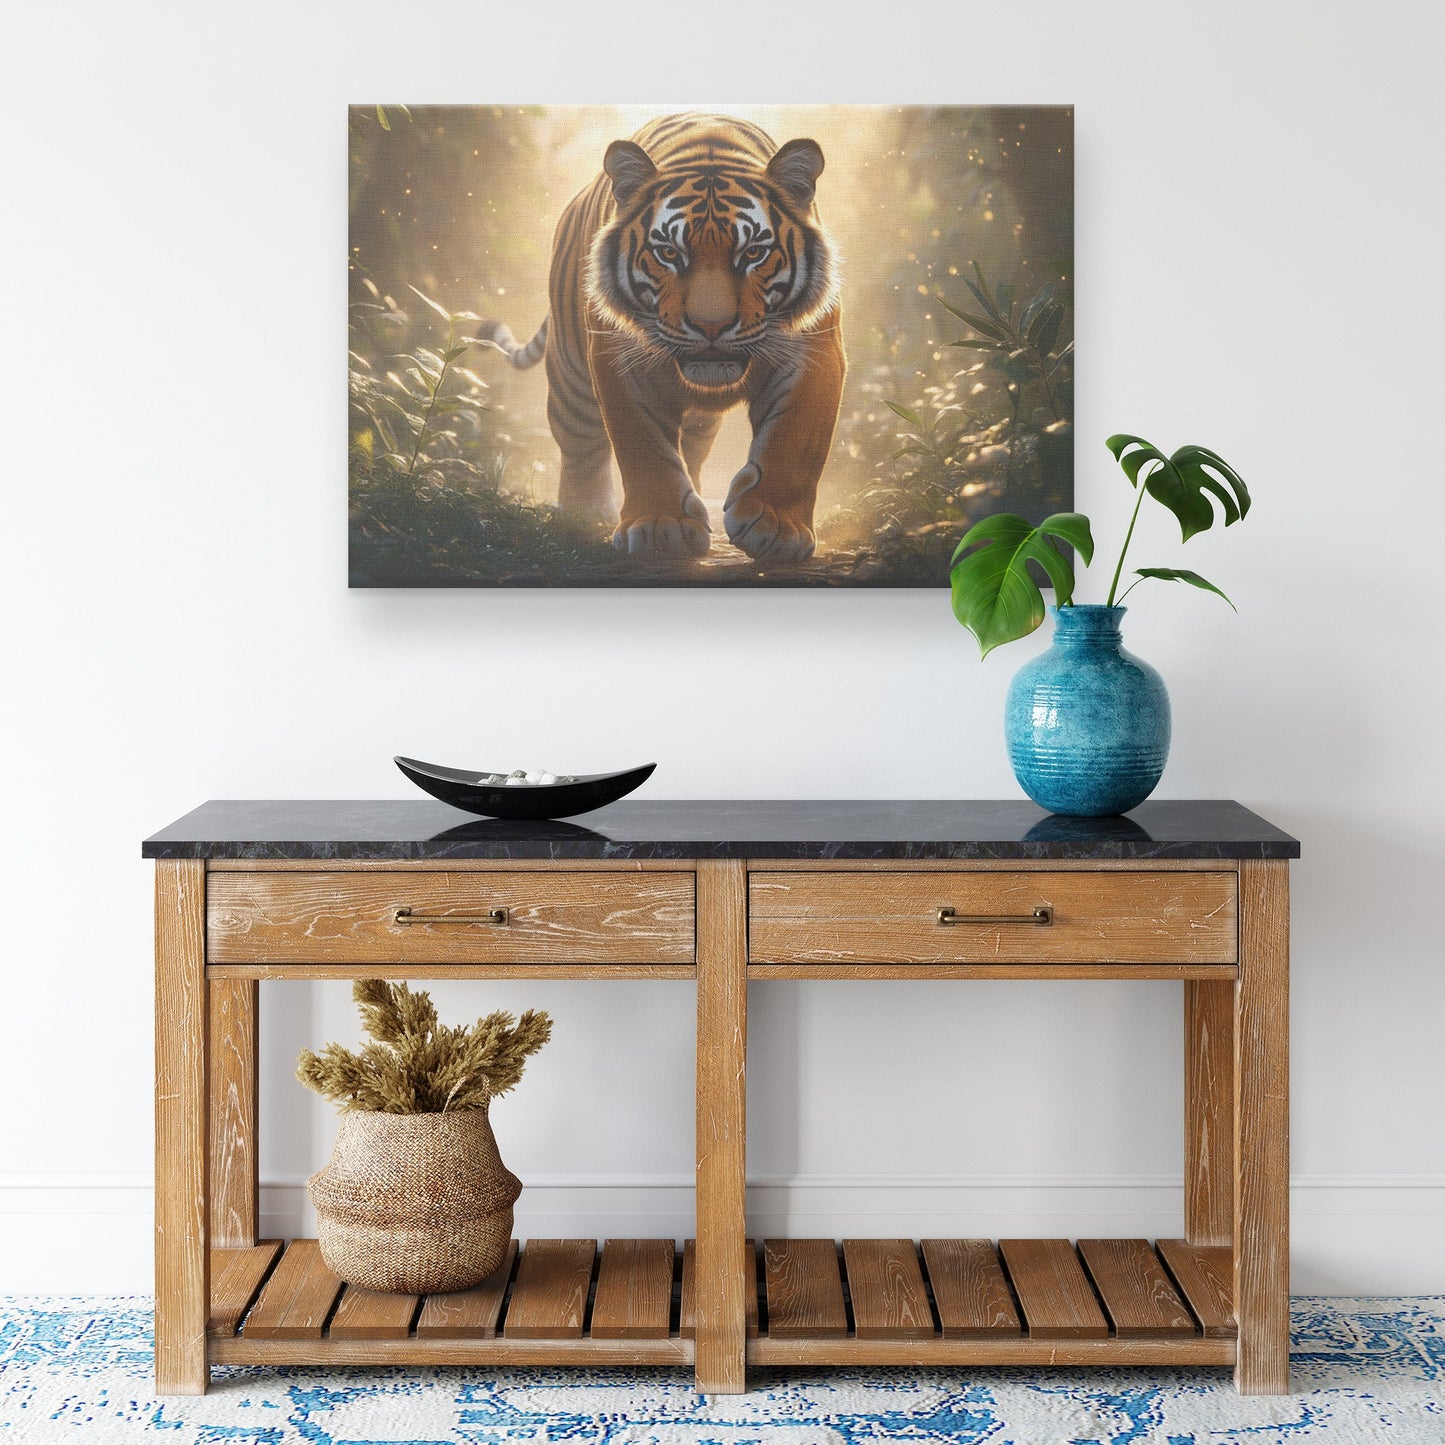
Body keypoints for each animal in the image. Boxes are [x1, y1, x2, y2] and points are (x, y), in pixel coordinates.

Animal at [486, 112, 845, 563]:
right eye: (670, 254)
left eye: (752, 253)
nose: (711, 326)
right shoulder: (620, 358)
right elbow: (643, 447)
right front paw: (662, 528)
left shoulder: (814, 350)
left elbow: (794, 437)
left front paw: (777, 529)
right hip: (571, 380)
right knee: (579, 443)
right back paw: (585, 514)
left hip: (699, 421)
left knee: (692, 446)